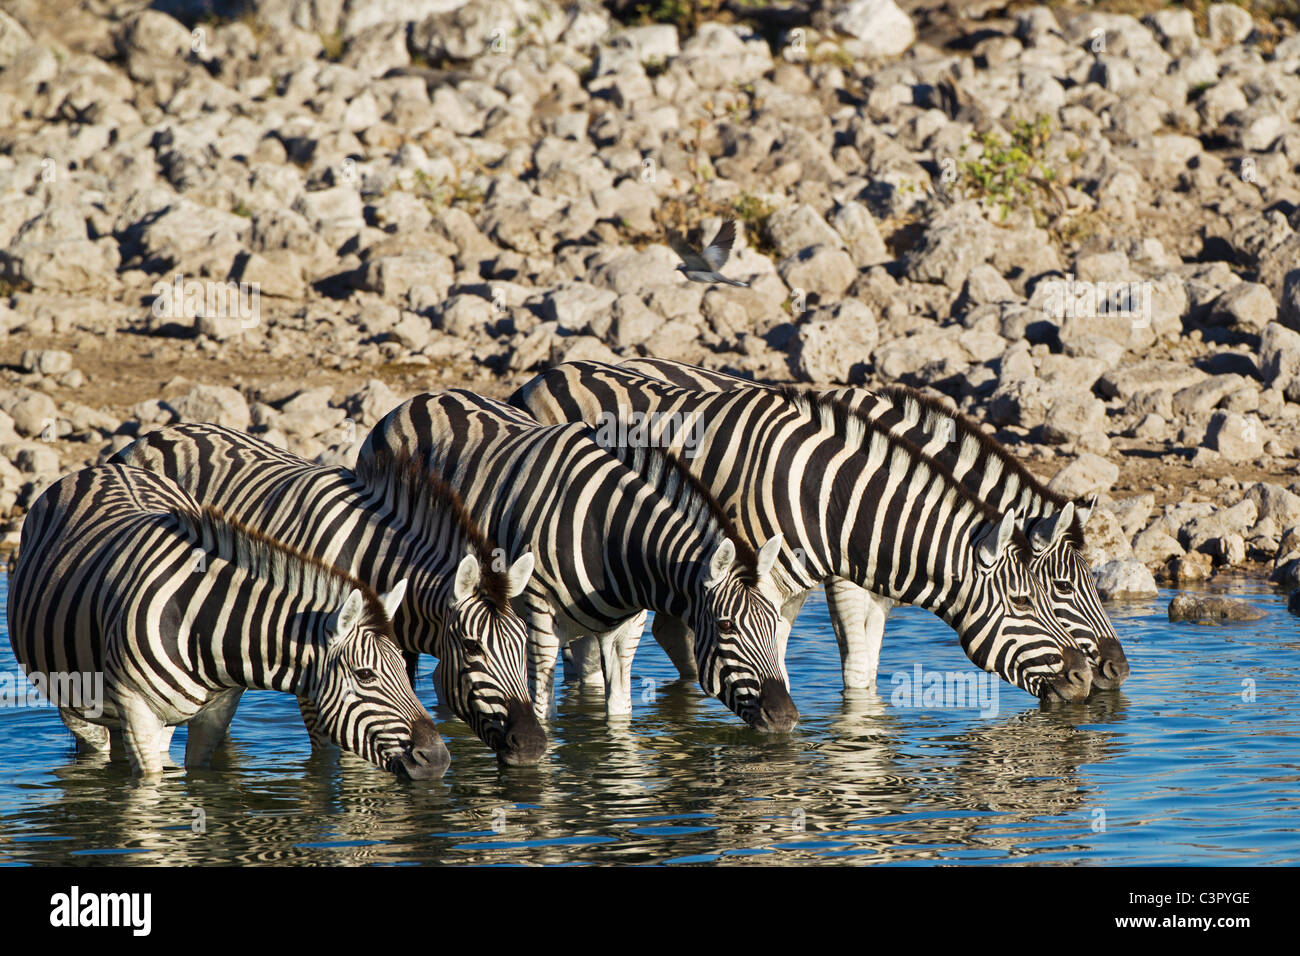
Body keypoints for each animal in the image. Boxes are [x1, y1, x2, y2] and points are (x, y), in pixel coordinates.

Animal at [8, 464, 447, 779]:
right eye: (365, 675)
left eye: (407, 671)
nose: (439, 759)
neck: (202, 625)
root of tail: (102, 467)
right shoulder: (137, 711)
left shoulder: (217, 709)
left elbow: (202, 778)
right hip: (75, 699)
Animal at [110, 423, 546, 765]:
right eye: (473, 647)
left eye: (523, 644)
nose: (533, 746)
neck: (372, 559)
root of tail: (149, 437)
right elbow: (330, 759)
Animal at [355, 389, 798, 732]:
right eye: (726, 626)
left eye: (776, 622)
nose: (788, 719)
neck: (614, 538)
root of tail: (411, 401)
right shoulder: (538, 619)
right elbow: (543, 712)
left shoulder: (626, 629)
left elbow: (620, 713)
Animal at [511, 361, 1094, 702]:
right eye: (1040, 597)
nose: (1090, 678)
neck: (834, 502)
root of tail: (542, 375)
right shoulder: (812, 584)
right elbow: (847, 662)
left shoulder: (802, 593)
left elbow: (859, 664)